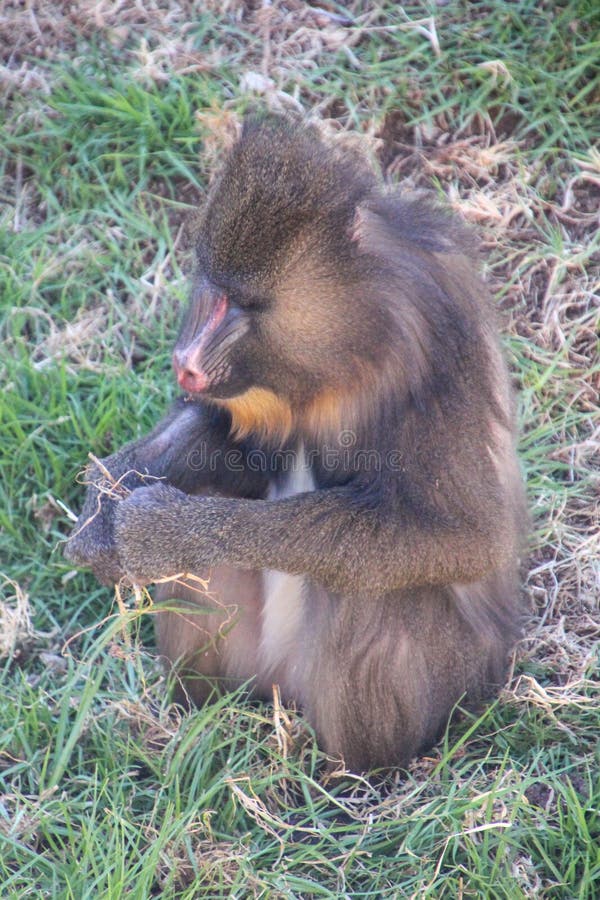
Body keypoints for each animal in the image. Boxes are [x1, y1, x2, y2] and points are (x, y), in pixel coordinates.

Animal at [65, 114, 527, 773]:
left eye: (249, 304)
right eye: (213, 288)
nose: (186, 364)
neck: (355, 336)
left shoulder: (441, 341)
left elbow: (466, 538)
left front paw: (168, 531)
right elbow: (234, 445)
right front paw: (112, 494)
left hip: (448, 686)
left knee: (368, 582)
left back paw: (353, 776)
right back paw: (201, 719)